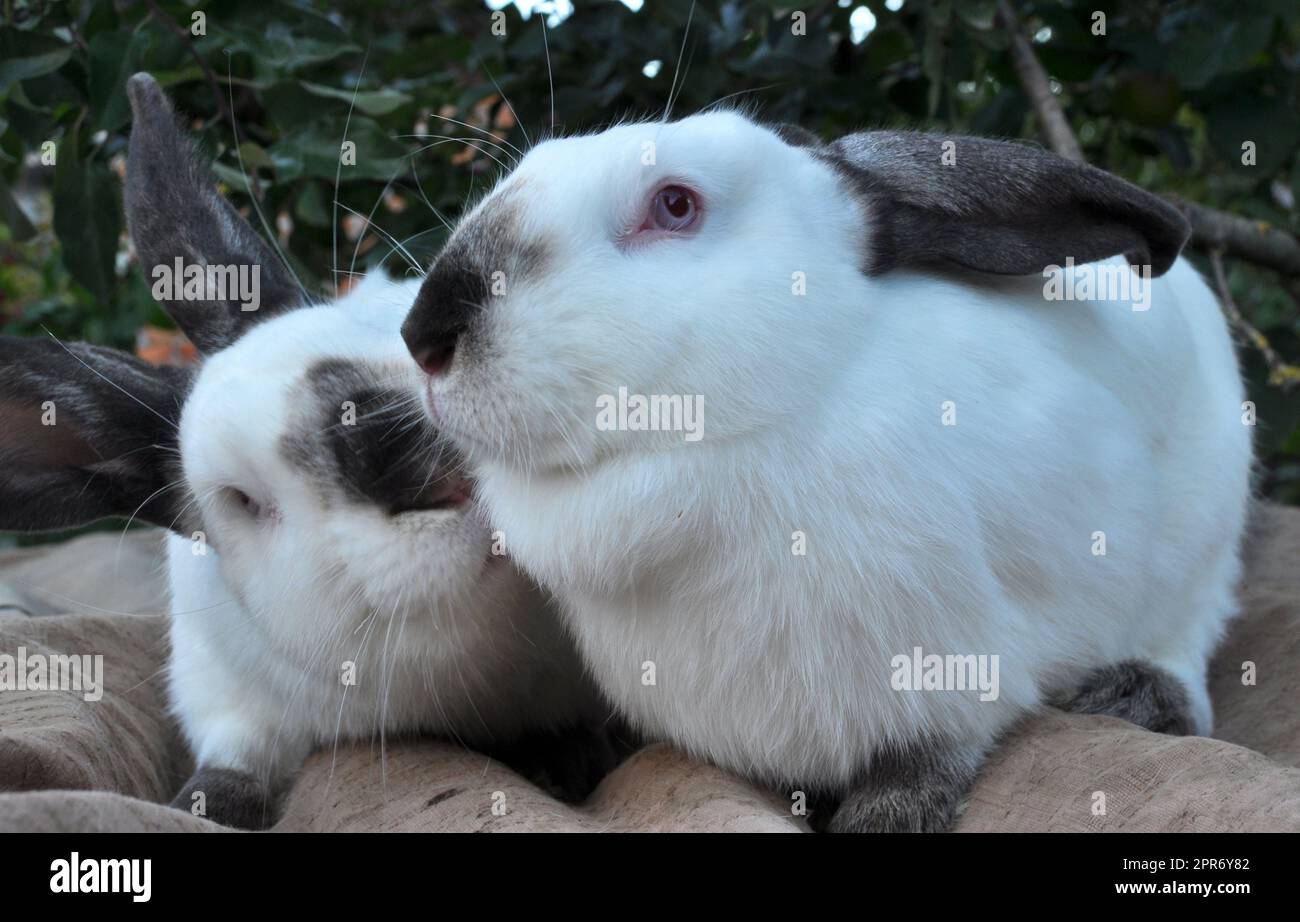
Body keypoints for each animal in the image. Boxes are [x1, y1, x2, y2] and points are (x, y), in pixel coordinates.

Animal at [397, 110, 1254, 832]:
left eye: (675, 205)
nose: (424, 336)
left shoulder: (957, 680)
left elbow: (932, 756)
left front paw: (889, 814)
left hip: (1205, 534)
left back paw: (1136, 693)